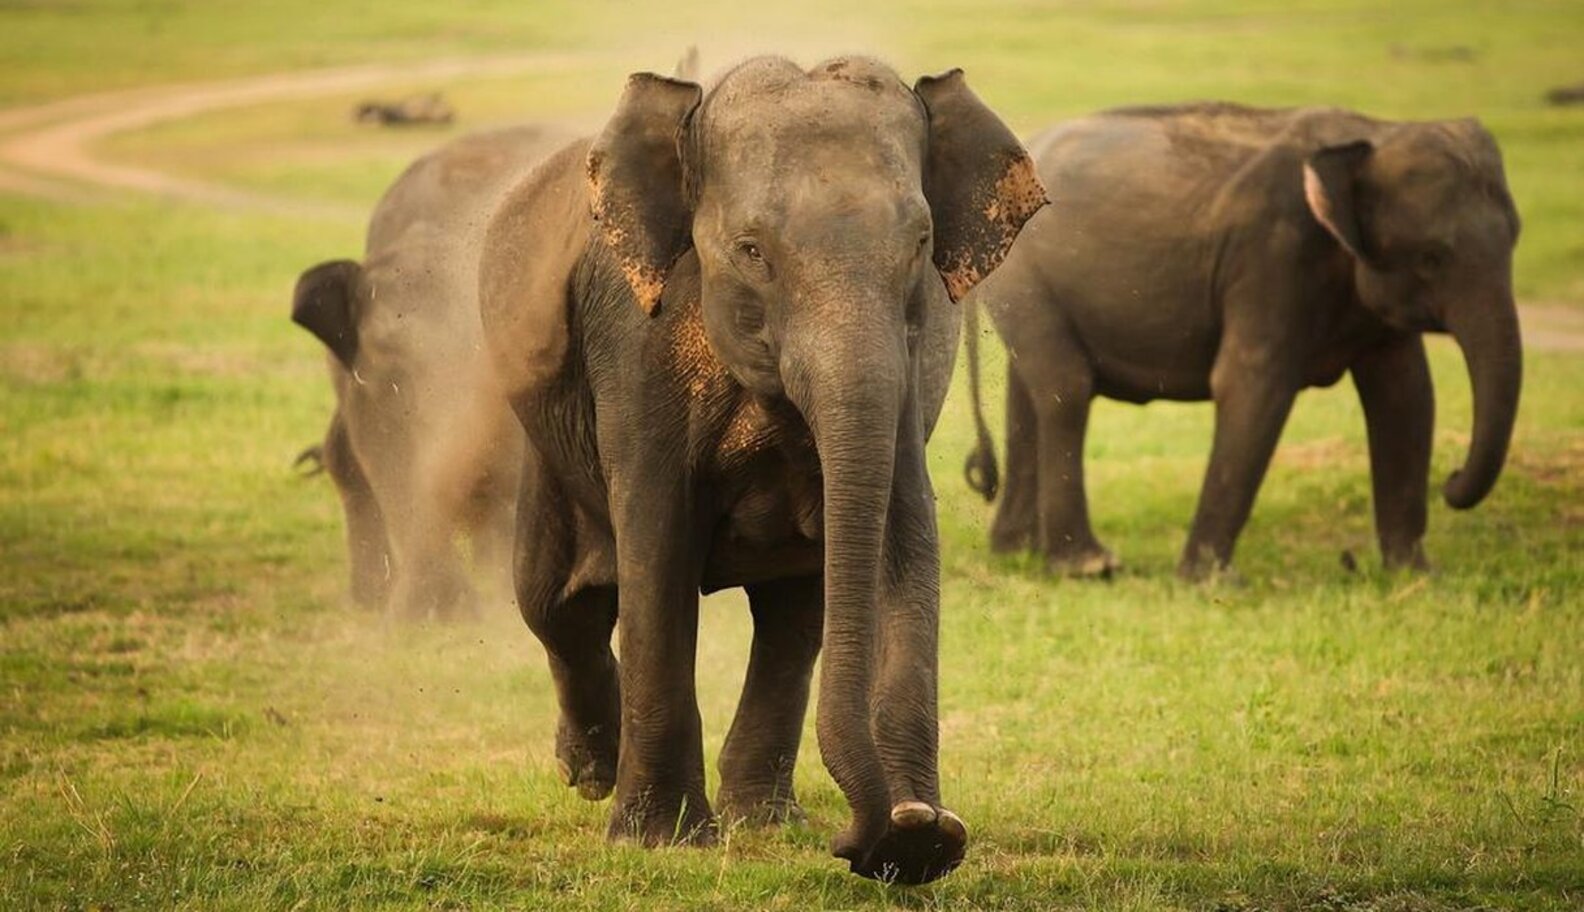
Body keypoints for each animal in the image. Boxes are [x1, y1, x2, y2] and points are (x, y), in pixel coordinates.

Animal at [477, 57, 1046, 883]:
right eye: (751, 250)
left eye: (920, 243)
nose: (873, 836)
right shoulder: (637, 346)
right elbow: (656, 548)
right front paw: (659, 841)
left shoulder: (910, 370)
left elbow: (905, 535)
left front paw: (925, 838)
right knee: (554, 602)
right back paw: (591, 775)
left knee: (791, 612)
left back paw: (763, 821)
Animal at [961, 103, 1522, 580]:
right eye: (1432, 257)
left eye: (1516, 238)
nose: (1452, 481)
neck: (1373, 132)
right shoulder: (1270, 252)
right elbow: (1253, 386)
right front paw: (1210, 581)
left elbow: (1406, 397)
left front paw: (1417, 577)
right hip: (1025, 277)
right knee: (1067, 388)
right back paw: (1088, 567)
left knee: (1030, 391)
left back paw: (1016, 552)